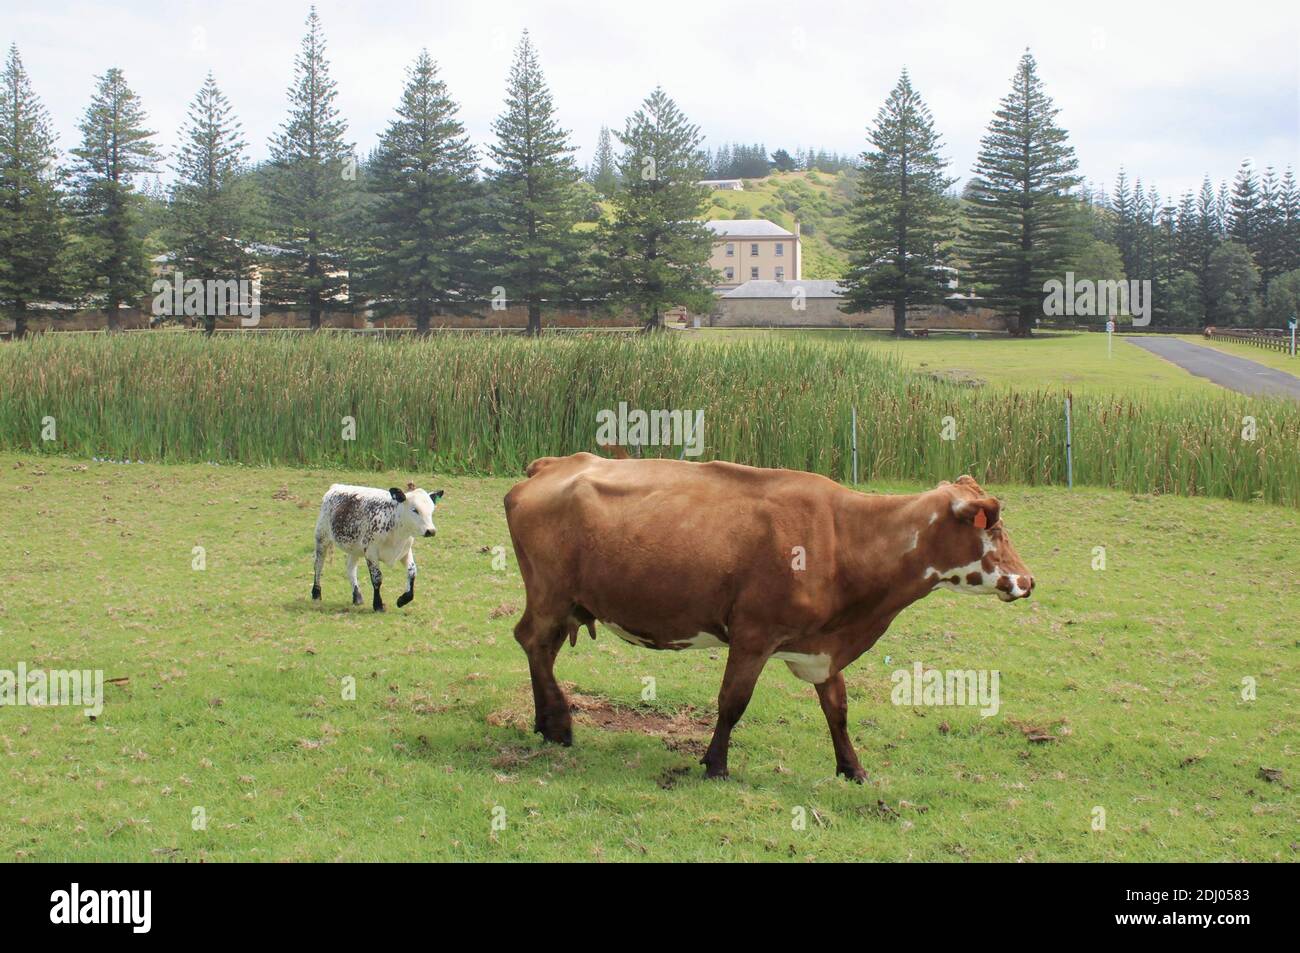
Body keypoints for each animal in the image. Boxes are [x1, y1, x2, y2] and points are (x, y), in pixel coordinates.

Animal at [312, 484, 443, 611]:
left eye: (431, 510)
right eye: (415, 510)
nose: (431, 531)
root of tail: (335, 487)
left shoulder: (405, 551)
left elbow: (412, 572)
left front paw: (403, 600)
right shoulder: (371, 553)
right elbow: (377, 578)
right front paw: (378, 605)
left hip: (355, 548)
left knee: (350, 568)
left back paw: (357, 596)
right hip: (322, 538)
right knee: (318, 566)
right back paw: (316, 593)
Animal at [503, 453, 1033, 781]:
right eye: (995, 528)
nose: (1028, 581)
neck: (844, 538)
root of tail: (555, 464)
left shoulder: (822, 649)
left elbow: (837, 710)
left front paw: (853, 769)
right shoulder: (753, 636)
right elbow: (732, 702)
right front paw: (716, 765)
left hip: (566, 603)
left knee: (542, 650)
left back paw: (546, 721)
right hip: (549, 595)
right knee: (532, 640)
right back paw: (559, 725)